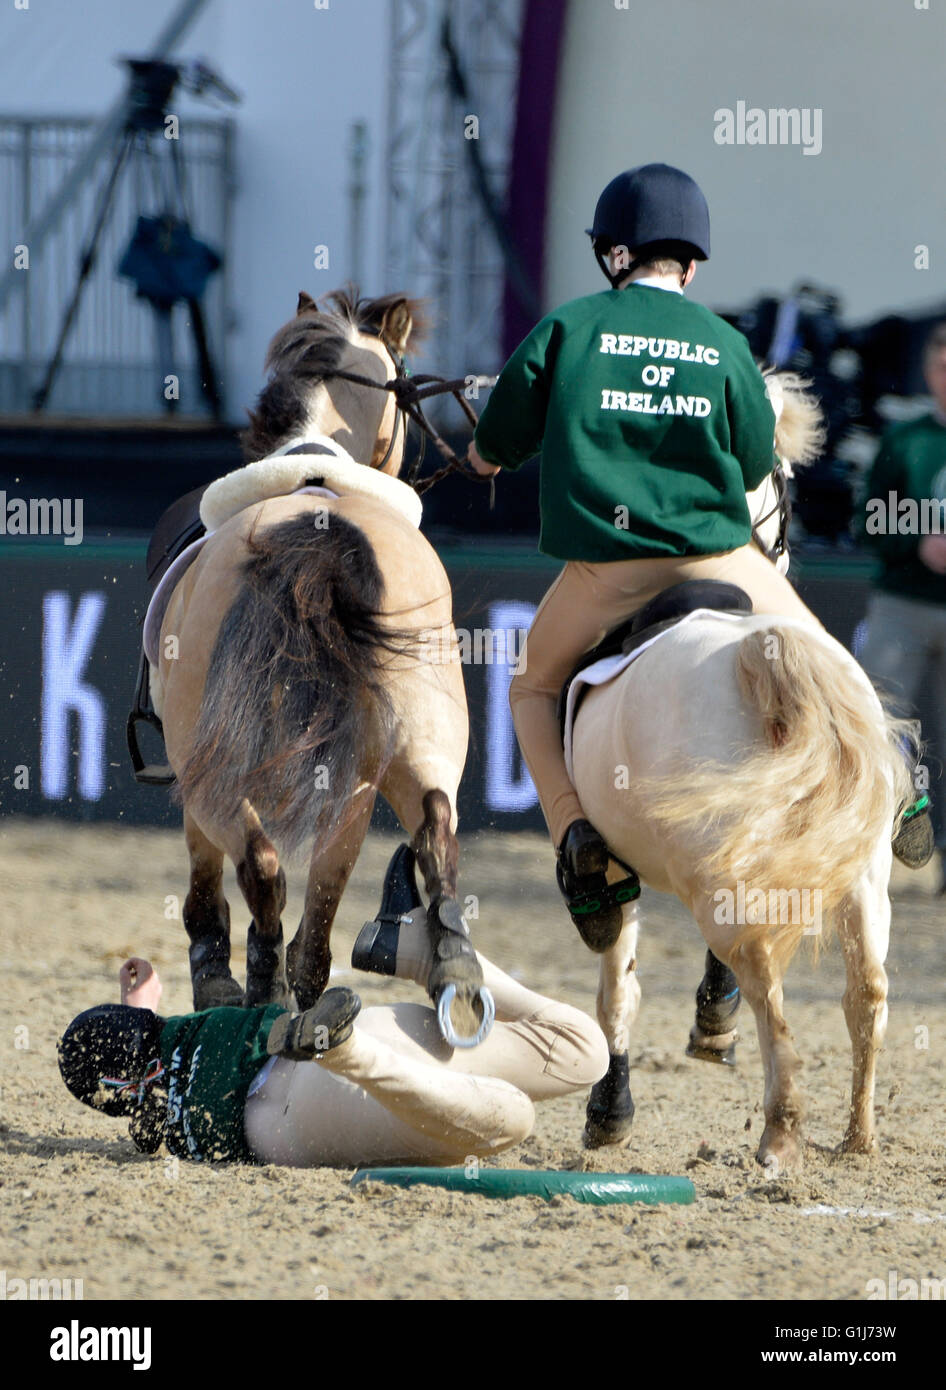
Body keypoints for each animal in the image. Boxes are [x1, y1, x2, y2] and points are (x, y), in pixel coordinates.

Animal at [148, 288, 492, 1045]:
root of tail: (319, 540)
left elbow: (209, 880)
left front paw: (218, 977)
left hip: (217, 768)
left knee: (261, 866)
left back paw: (265, 993)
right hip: (412, 740)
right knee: (431, 829)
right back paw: (441, 973)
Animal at [567, 373, 915, 1171]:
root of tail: (765, 642)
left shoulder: (622, 866)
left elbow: (617, 991)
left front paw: (610, 1111)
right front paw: (709, 1019)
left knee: (763, 973)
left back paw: (780, 1131)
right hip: (858, 872)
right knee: (866, 991)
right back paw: (857, 1136)